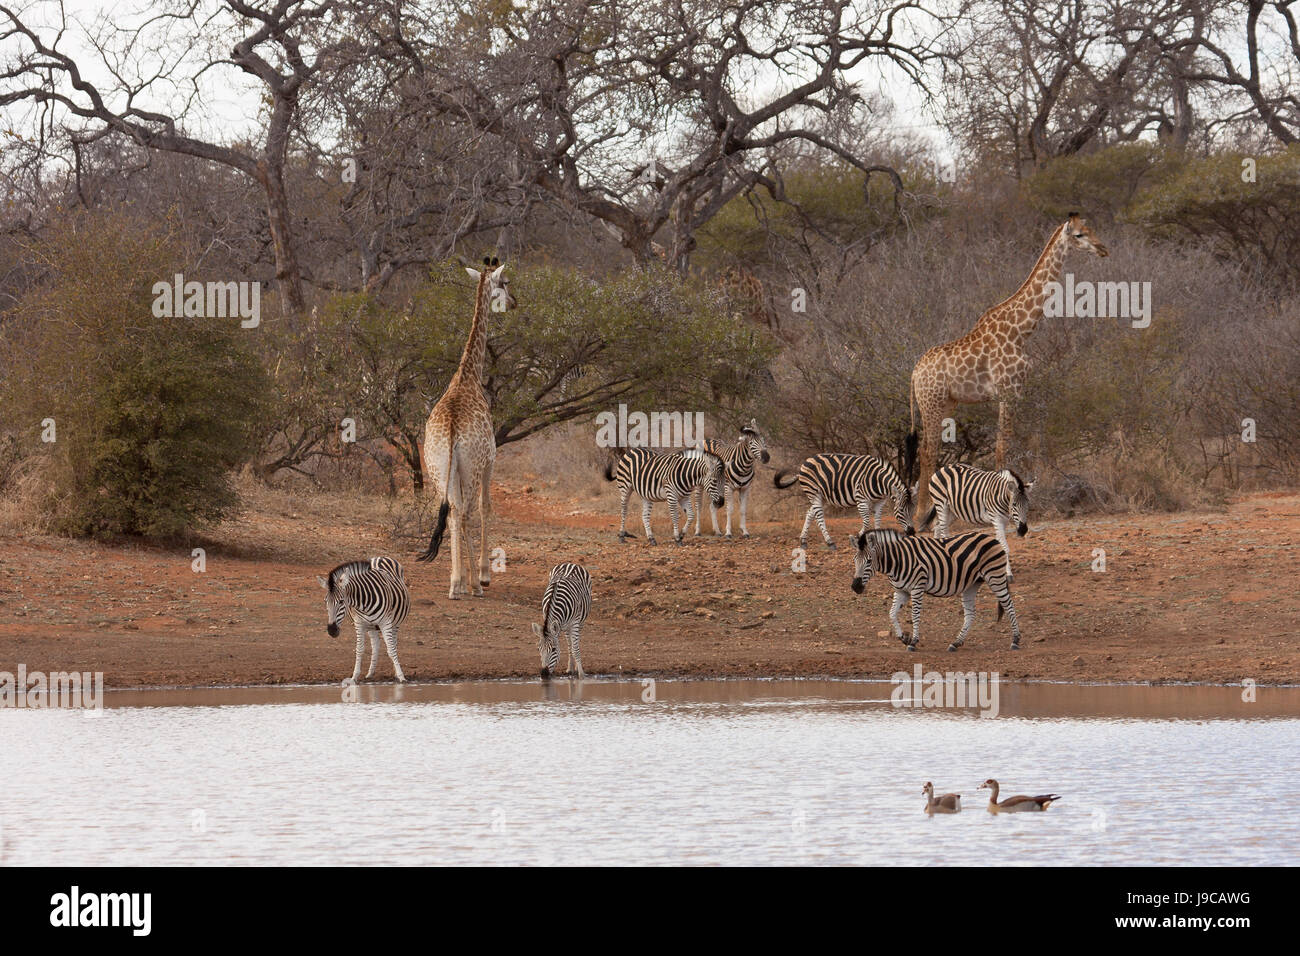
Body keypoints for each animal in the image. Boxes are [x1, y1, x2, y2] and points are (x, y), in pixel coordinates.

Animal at [417, 257, 516, 599]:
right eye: (505, 283)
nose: (514, 303)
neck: (468, 375)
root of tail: (450, 434)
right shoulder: (491, 460)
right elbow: (486, 508)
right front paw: (483, 575)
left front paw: (466, 577)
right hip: (470, 467)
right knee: (465, 511)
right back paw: (469, 583)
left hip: (438, 470)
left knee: (451, 513)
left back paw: (455, 581)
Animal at [906, 213, 1109, 523]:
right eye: (1079, 235)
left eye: (1091, 229)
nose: (1102, 249)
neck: (1022, 329)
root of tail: (914, 373)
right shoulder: (1008, 392)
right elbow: (1003, 448)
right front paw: (999, 504)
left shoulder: (1017, 392)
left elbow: (1020, 444)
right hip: (931, 402)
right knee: (928, 450)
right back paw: (921, 514)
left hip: (947, 403)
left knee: (932, 447)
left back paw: (931, 511)